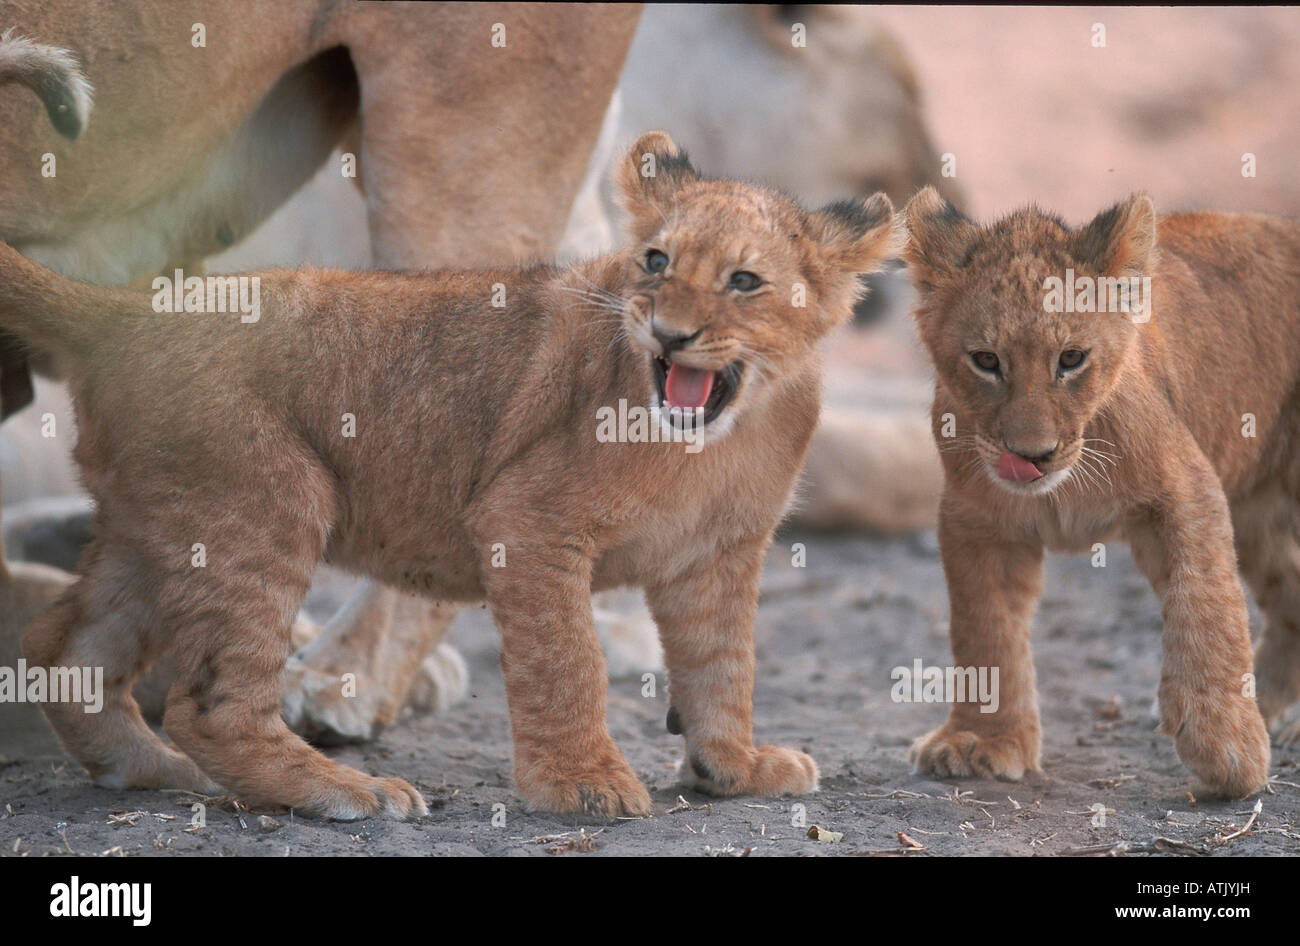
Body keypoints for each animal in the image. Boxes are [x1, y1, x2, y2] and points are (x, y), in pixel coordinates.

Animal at [0, 132, 899, 819]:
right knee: (211, 705)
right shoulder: (526, 520)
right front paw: (582, 784)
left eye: (744, 281)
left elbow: (724, 664)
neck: (715, 441)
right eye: (654, 261)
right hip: (265, 505)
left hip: (164, 527)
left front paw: (734, 767)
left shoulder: (718, 556)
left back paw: (145, 767)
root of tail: (124, 309)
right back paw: (346, 791)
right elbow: (568, 660)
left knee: (62, 643)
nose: (670, 335)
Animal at [900, 185, 1300, 798]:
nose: (1031, 456)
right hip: (1262, 513)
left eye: (1071, 359)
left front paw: (1225, 744)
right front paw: (983, 741)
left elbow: (1208, 603)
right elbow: (985, 629)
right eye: (986, 361)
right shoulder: (976, 520)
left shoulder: (1186, 487)